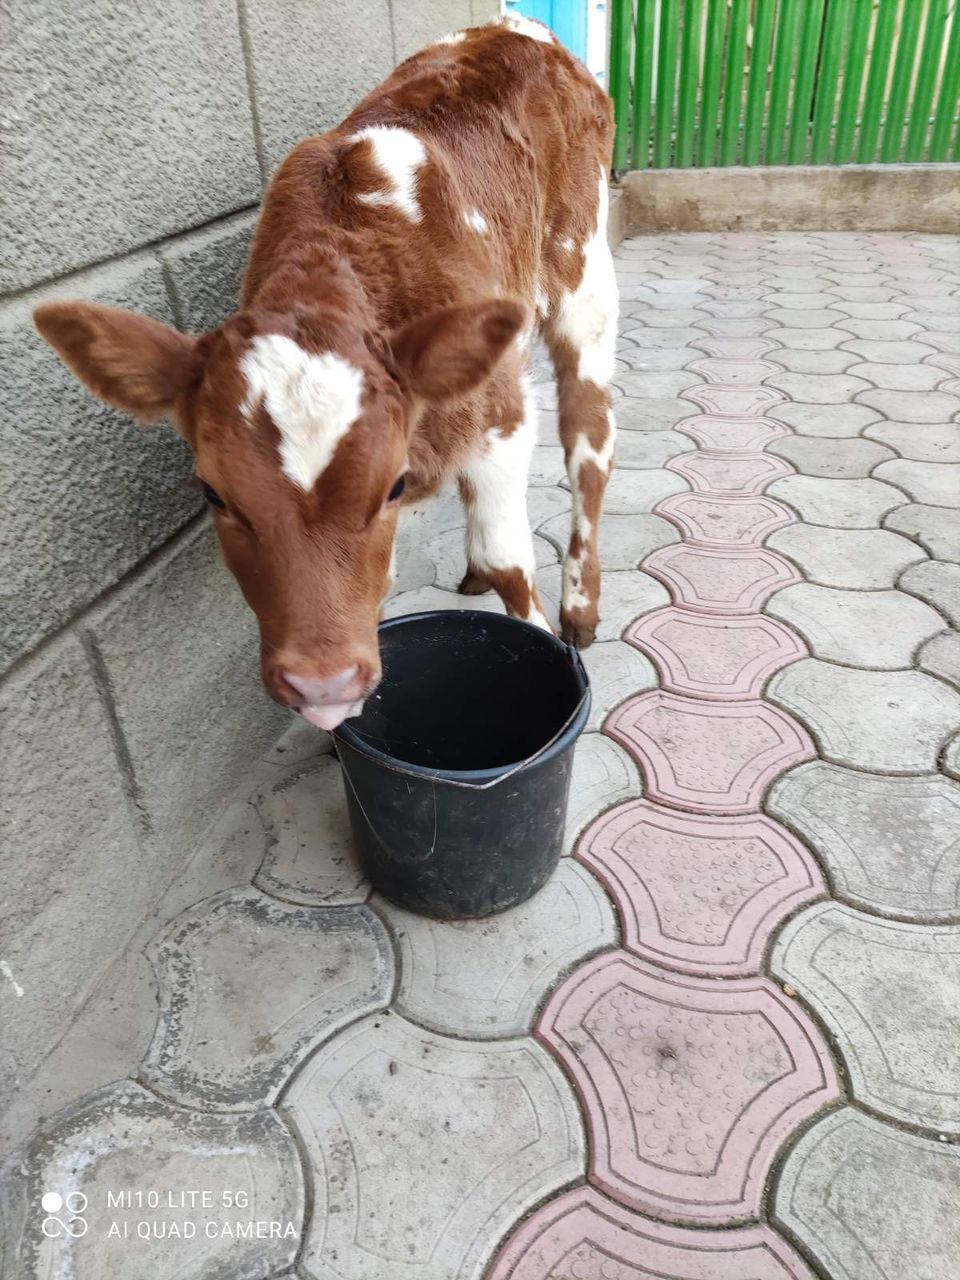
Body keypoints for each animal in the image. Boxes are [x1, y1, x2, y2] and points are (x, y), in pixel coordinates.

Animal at [34, 14, 619, 732]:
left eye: (394, 485)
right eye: (213, 495)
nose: (322, 684)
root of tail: (511, 27)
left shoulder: (502, 413)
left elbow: (507, 555)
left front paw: (541, 637)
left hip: (582, 270)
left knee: (590, 438)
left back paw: (580, 604)